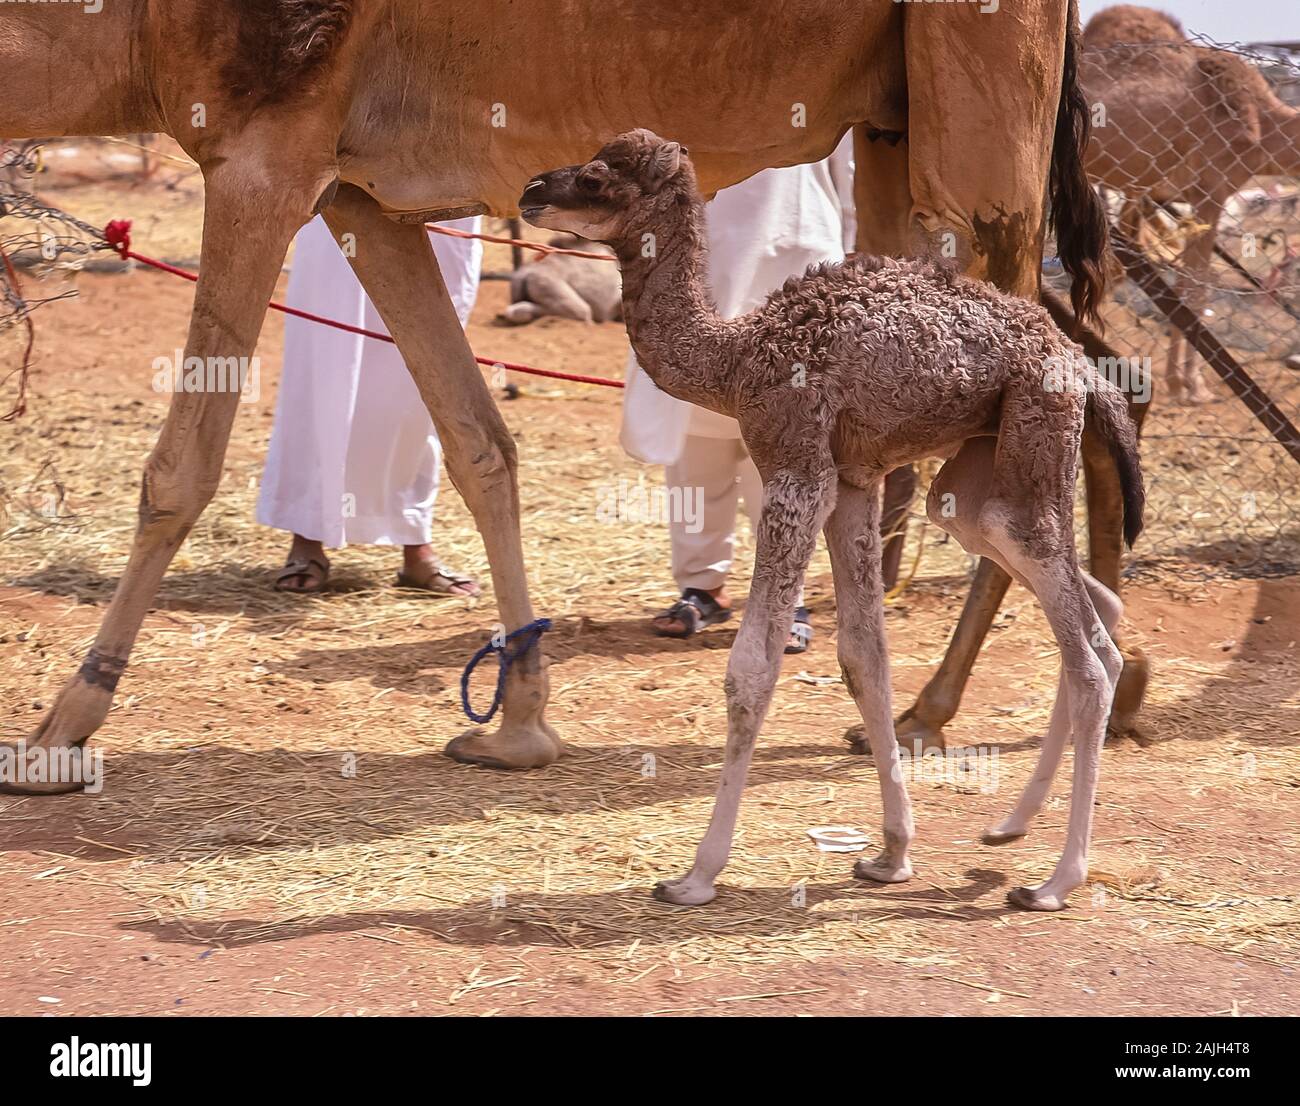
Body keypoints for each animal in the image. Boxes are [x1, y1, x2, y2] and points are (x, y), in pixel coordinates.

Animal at [0, 0, 1111, 790]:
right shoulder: (361, 192)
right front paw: (522, 719)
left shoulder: (262, 150)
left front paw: (62, 725)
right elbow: (477, 438)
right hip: (888, 123)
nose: (540, 186)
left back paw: (938, 706)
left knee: (1035, 339)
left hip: (978, 111)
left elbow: (179, 467)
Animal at [522, 130, 1143, 910]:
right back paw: (1011, 825)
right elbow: (864, 658)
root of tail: (1080, 367)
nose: (531, 191)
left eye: (598, 177)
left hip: (1035, 437)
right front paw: (891, 853)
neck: (734, 358)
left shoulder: (797, 471)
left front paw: (697, 874)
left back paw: (1056, 880)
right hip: (978, 481)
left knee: (1087, 660)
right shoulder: (851, 483)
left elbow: (750, 669)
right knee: (1084, 615)